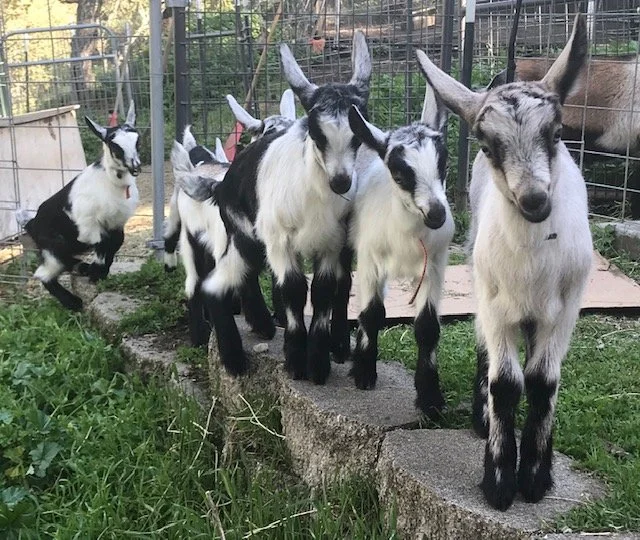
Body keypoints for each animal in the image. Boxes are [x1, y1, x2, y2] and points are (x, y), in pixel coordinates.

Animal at [20, 102, 141, 311]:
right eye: (115, 146)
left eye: (137, 141)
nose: (136, 166)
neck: (109, 182)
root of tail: (32, 224)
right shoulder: (88, 223)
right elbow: (102, 242)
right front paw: (97, 272)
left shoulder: (116, 223)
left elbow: (116, 242)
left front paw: (99, 271)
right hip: (54, 245)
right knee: (44, 273)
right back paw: (73, 302)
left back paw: (82, 269)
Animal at [179, 31, 371, 382]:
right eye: (316, 130)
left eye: (358, 133)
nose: (341, 181)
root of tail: (223, 182)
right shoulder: (280, 241)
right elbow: (294, 289)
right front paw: (295, 361)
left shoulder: (332, 245)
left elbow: (323, 291)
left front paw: (318, 365)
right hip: (245, 238)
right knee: (212, 284)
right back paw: (234, 358)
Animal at [347, 83, 454, 419]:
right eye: (399, 171)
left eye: (443, 162)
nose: (437, 214)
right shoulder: (369, 258)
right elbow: (371, 314)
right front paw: (365, 374)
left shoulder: (434, 266)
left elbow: (427, 327)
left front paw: (430, 398)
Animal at [416, 14, 592, 510]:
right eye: (488, 145)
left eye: (556, 134)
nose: (534, 200)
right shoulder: (496, 304)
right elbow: (506, 384)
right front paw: (499, 478)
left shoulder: (566, 309)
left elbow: (543, 381)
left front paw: (535, 475)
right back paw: (481, 417)